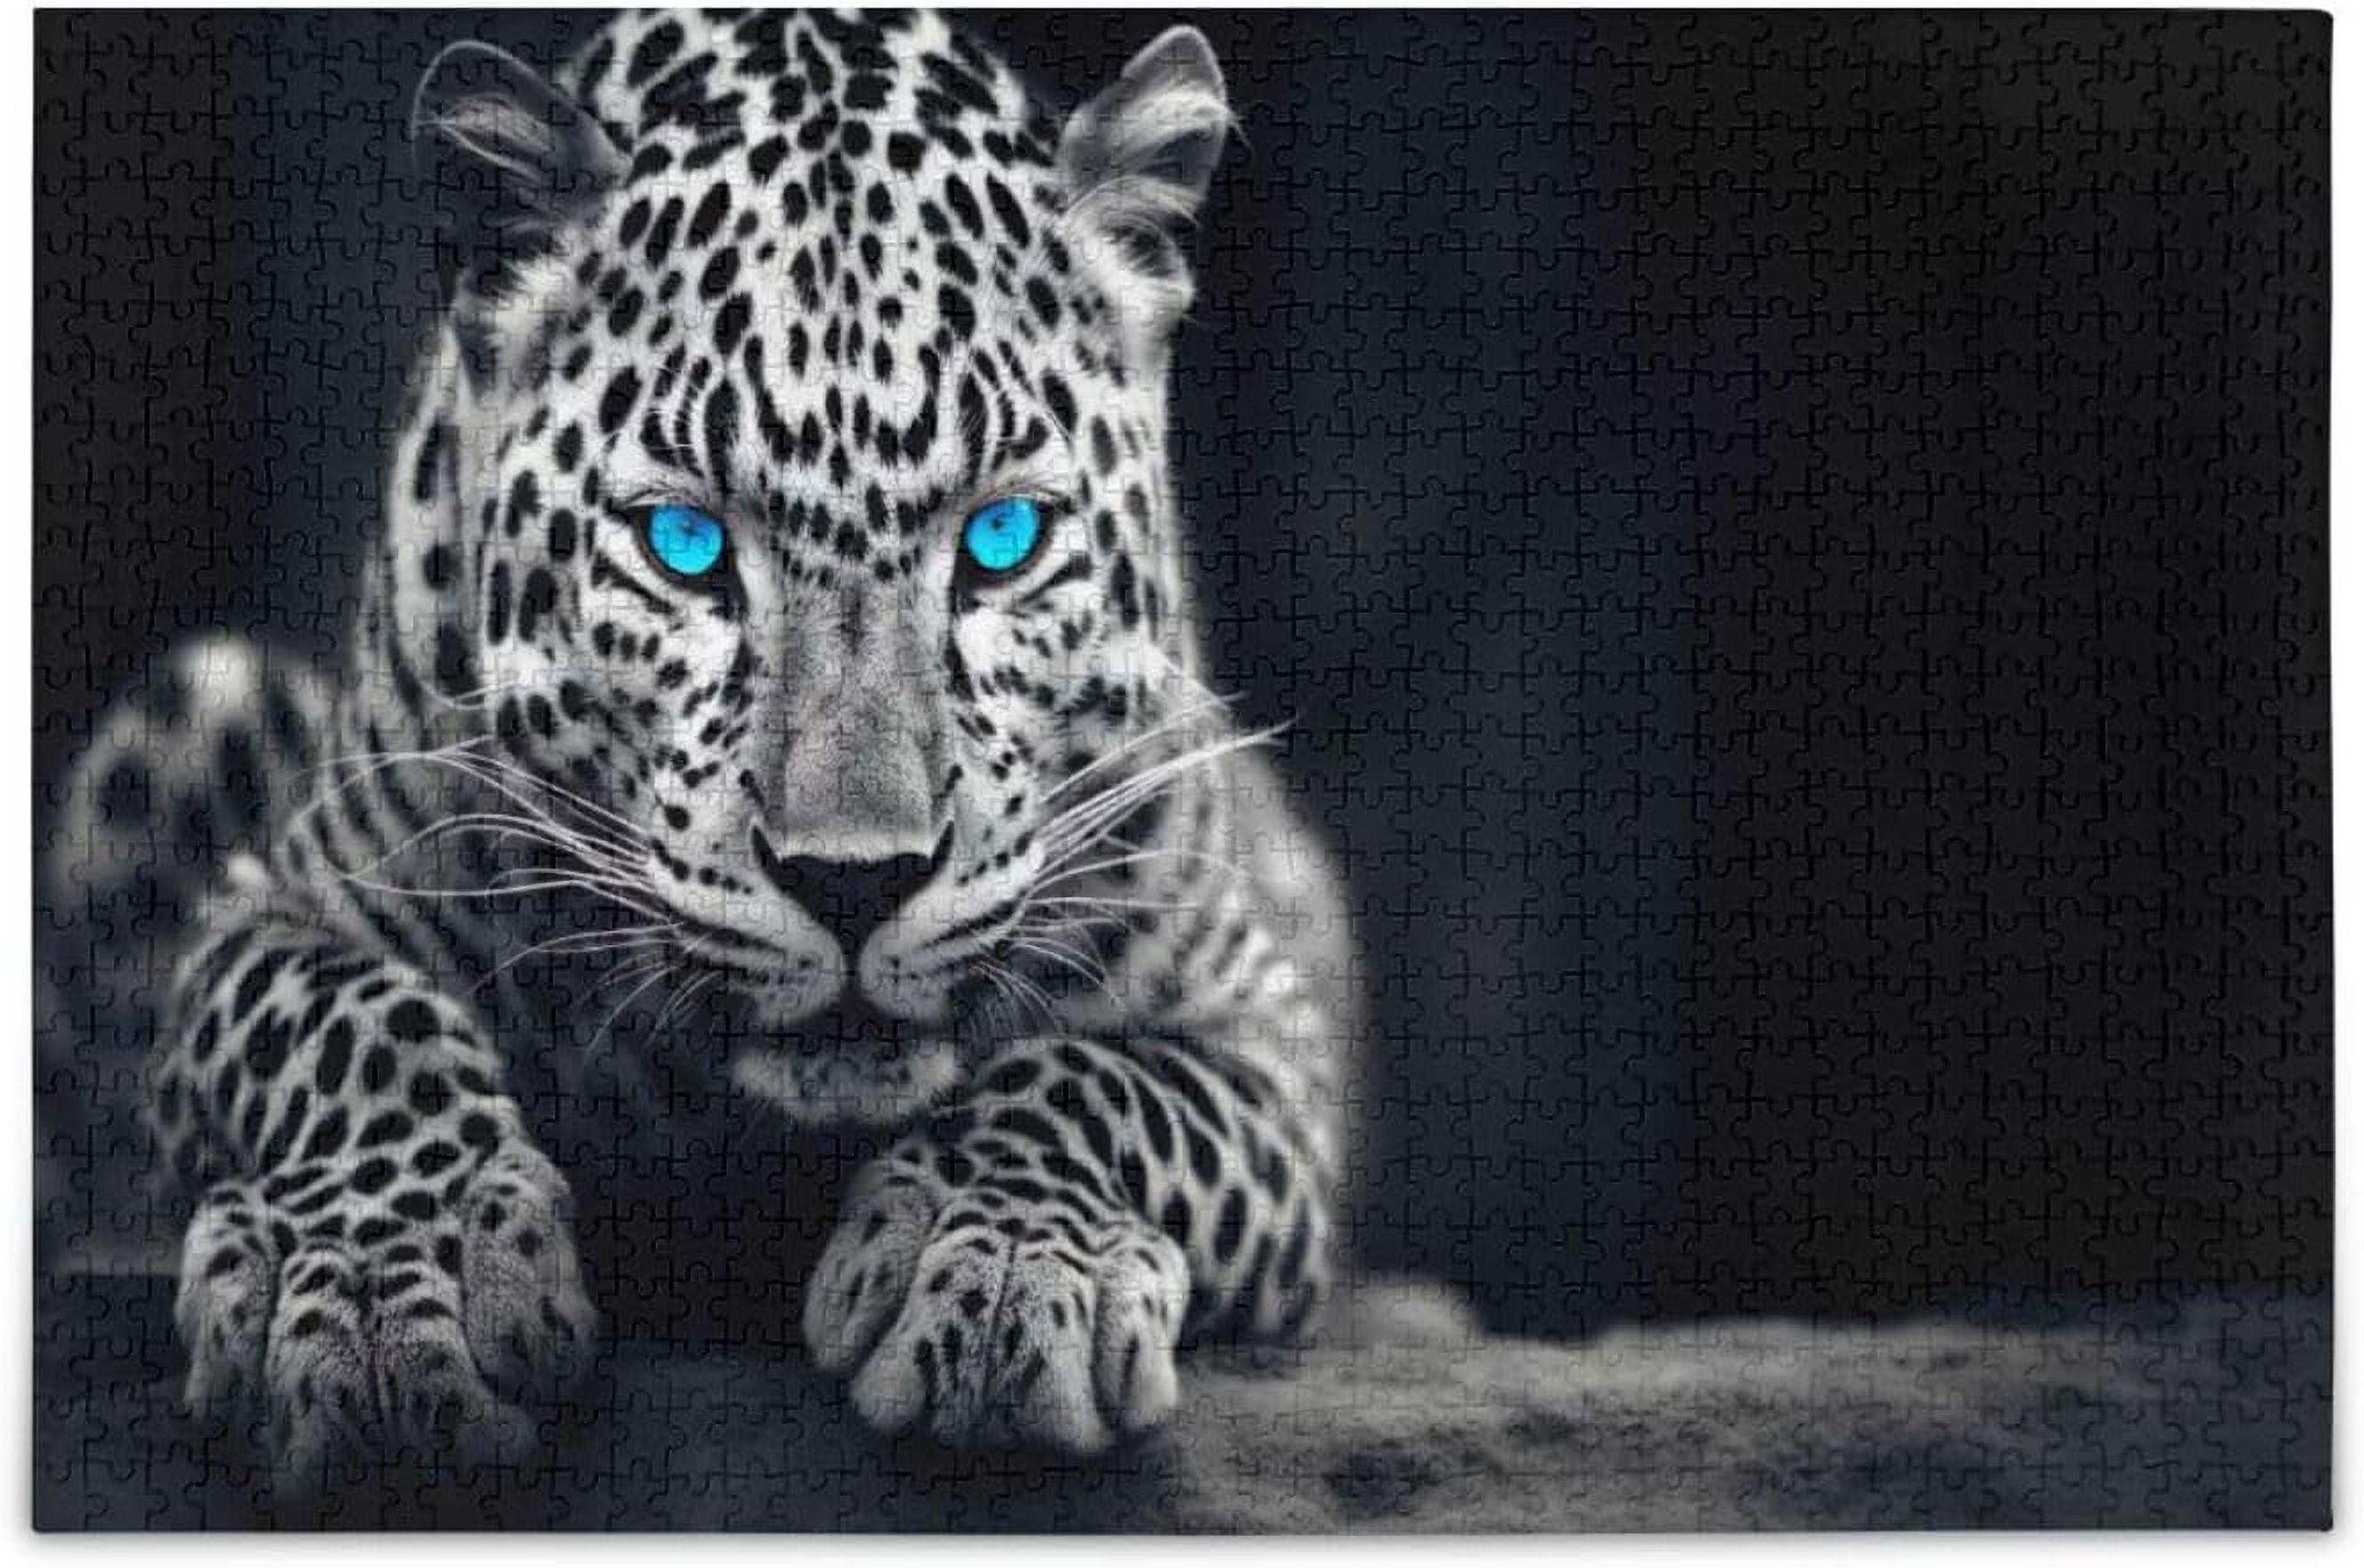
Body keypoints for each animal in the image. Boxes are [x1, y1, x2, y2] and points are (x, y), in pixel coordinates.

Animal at [44, 8, 1358, 1494]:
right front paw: (387, 1291)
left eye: (1005, 537)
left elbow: (1104, 1080)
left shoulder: (1263, 1021)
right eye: (684, 547)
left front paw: (1008, 1274)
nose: (855, 880)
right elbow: (336, 1024)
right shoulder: (280, 902)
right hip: (194, 700)